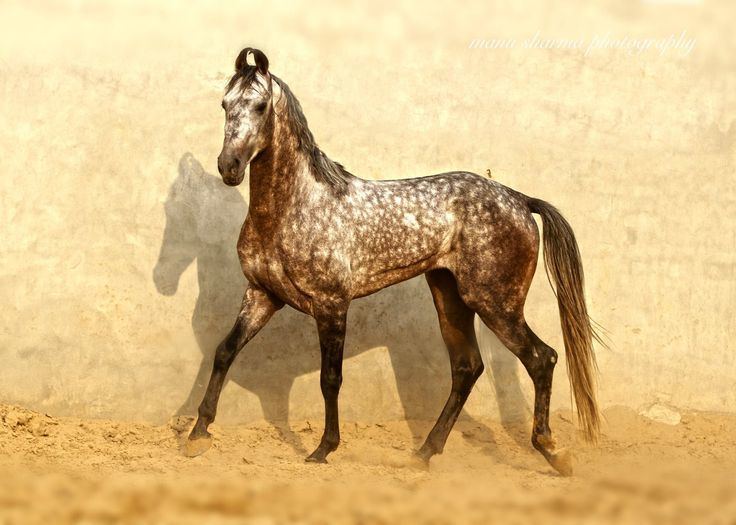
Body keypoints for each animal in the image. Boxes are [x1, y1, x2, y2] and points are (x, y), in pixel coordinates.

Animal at [185, 47, 603, 476]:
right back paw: (424, 452)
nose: (229, 167)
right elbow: (224, 351)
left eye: (261, 105)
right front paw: (197, 435)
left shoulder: (332, 305)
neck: (295, 207)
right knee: (467, 367)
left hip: (495, 303)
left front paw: (323, 449)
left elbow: (330, 378)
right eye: (225, 104)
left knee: (542, 359)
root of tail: (520, 200)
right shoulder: (261, 294)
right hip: (450, 296)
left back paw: (553, 451)